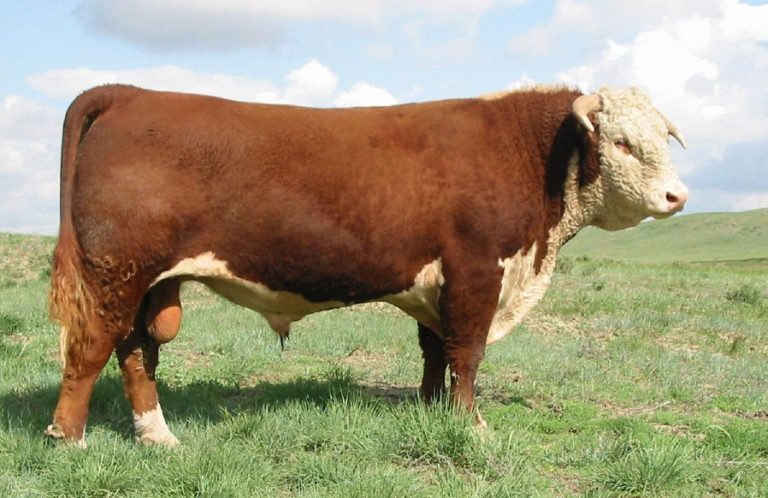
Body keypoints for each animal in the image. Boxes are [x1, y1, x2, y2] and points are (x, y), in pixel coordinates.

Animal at [45, 84, 688, 447]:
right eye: (623, 143)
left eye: (663, 137)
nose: (676, 197)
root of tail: (131, 92)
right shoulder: (478, 272)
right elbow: (468, 353)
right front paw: (472, 425)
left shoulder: (436, 283)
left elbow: (436, 350)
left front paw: (432, 409)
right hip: (116, 273)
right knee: (92, 349)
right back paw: (69, 438)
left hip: (149, 283)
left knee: (136, 355)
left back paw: (158, 438)